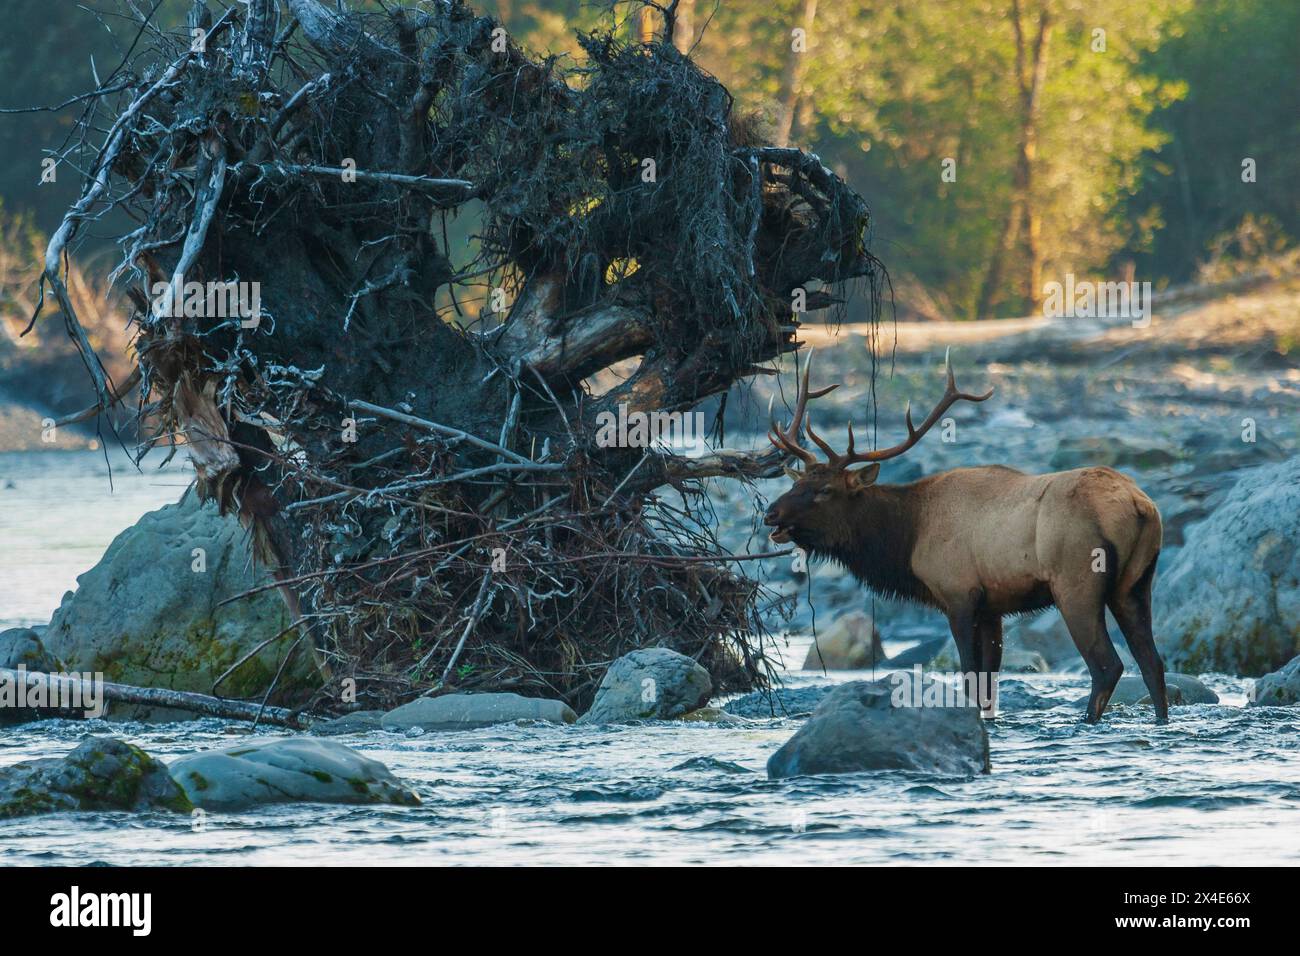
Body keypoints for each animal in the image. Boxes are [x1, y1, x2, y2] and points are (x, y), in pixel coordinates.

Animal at [762, 355, 1167, 723]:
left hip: (1077, 583)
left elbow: (970, 675)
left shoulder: (958, 594)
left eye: (825, 490)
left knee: (1107, 666)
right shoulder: (993, 607)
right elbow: (988, 684)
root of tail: (1140, 505)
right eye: (796, 482)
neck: (908, 537)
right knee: (1153, 663)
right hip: (1135, 585)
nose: (770, 513)